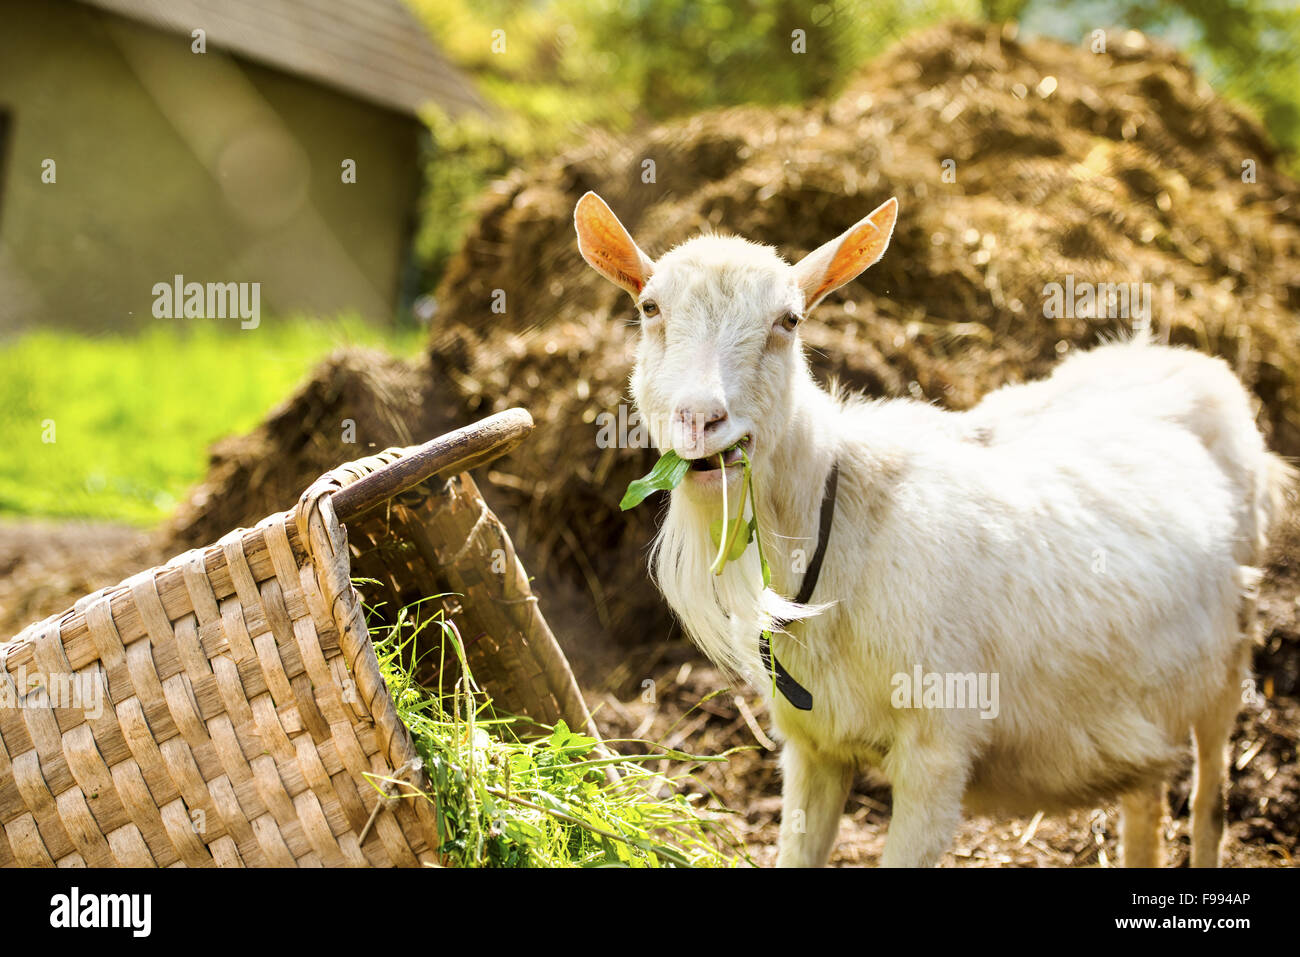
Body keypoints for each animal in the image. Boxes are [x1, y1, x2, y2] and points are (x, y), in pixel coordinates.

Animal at [574, 190, 1293, 867]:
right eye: (649, 308)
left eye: (789, 320)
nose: (701, 418)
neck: (844, 529)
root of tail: (1179, 356)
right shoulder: (813, 747)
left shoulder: (938, 748)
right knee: (1146, 797)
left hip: (1232, 656)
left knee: (1209, 799)